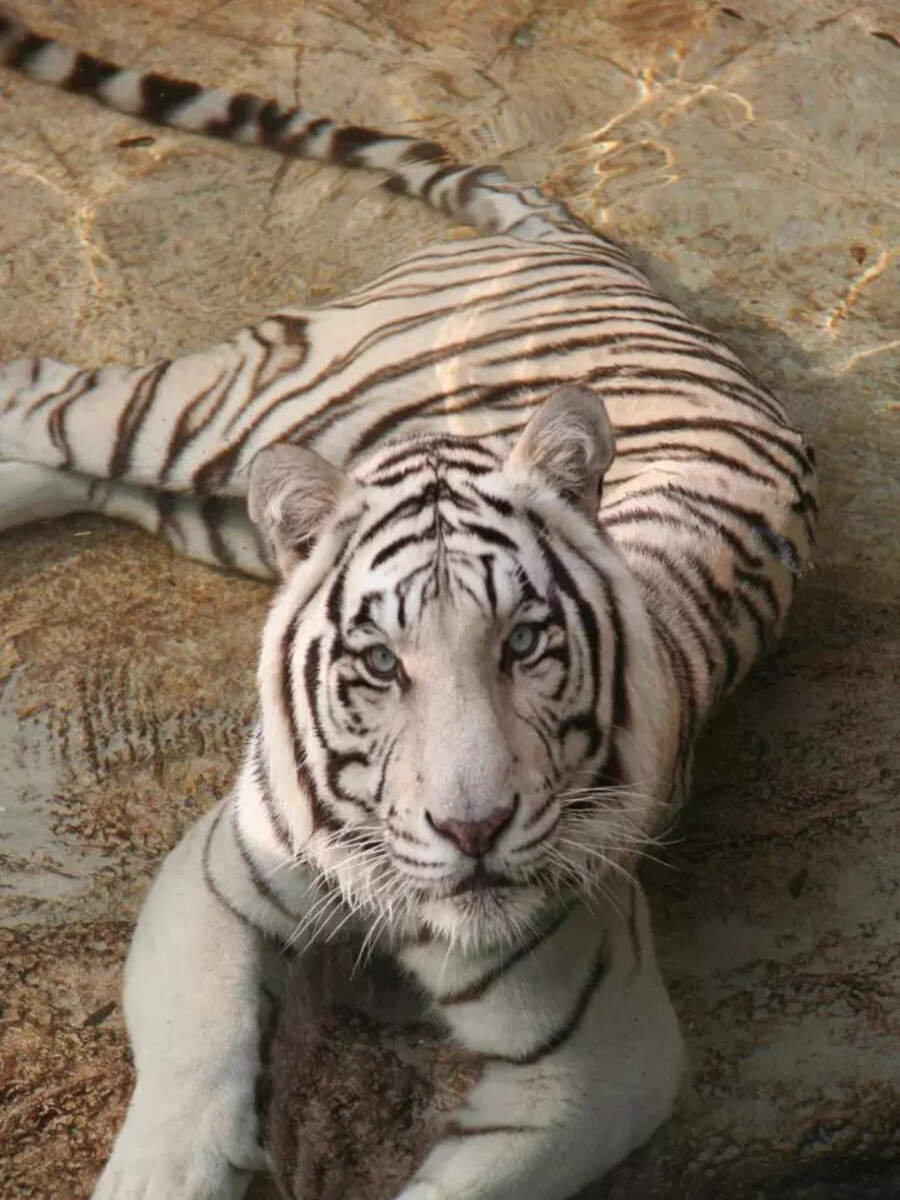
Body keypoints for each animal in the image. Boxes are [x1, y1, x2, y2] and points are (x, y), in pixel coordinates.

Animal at [0, 11, 818, 1200]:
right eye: (380, 664)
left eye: (525, 643)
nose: (473, 830)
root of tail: (576, 244)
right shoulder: (216, 880)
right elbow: (193, 1084)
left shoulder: (596, 1049)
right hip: (224, 410)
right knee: (41, 394)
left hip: (210, 508)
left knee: (69, 458)